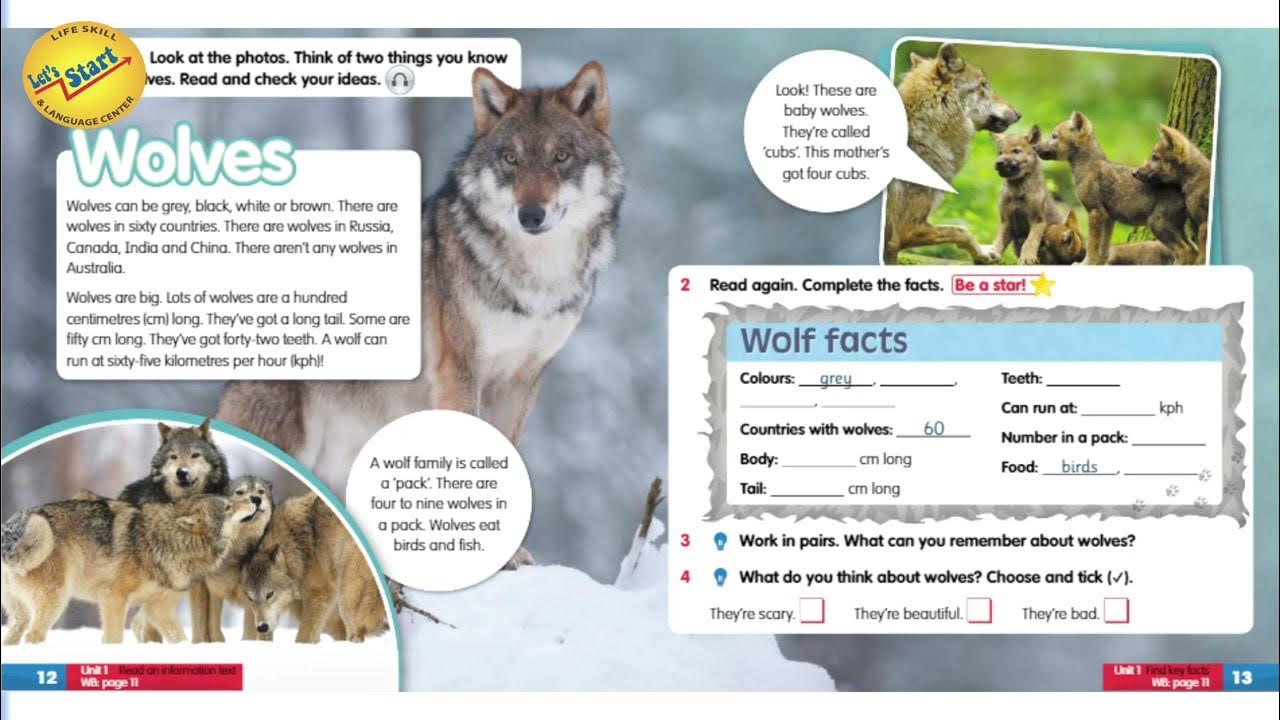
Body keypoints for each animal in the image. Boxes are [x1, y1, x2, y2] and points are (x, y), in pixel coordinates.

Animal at [1, 494, 257, 644]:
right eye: (228, 506)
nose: (254, 499)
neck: (164, 541)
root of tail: (12, 526)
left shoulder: (158, 608)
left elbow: (180, 638)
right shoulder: (113, 598)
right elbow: (113, 639)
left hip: (21, 616)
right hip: (57, 600)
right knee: (34, 636)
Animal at [217, 63, 623, 567]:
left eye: (561, 157)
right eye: (510, 159)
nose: (531, 215)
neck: (534, 280)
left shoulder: (523, 382)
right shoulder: (460, 372)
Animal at [241, 493, 387, 643]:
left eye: (269, 594)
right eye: (250, 599)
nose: (261, 627)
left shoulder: (319, 595)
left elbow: (303, 637)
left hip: (347, 596)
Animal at [990, 126, 1062, 264]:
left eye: (1016, 151)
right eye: (1000, 152)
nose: (999, 163)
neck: (1018, 191)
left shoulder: (1037, 221)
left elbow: (1030, 242)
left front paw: (1027, 258)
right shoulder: (1005, 221)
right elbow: (998, 243)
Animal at [1034, 112, 1194, 265]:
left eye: (1054, 136)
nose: (1035, 147)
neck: (1087, 167)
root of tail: (1182, 190)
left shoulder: (1095, 211)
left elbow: (1092, 245)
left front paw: (1086, 263)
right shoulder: (1108, 217)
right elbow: (1104, 249)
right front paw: (1100, 263)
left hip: (1158, 224)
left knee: (1185, 250)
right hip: (1176, 228)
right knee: (1193, 249)